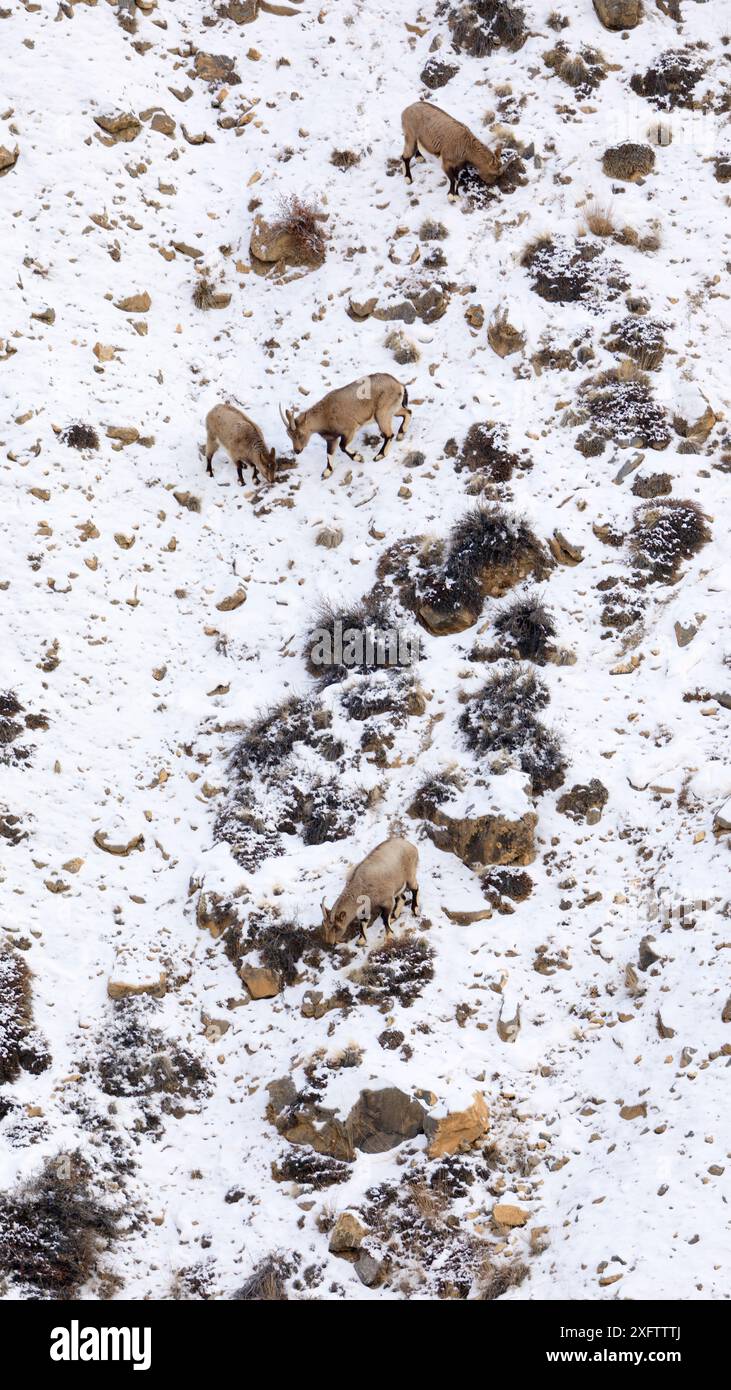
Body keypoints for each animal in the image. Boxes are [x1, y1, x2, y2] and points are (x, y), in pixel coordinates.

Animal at [279, 373, 411, 479]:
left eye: (300, 434)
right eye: (289, 436)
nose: (297, 450)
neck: (324, 415)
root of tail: (399, 384)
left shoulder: (349, 430)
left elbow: (342, 446)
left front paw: (359, 458)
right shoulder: (331, 438)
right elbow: (329, 453)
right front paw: (327, 472)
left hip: (382, 415)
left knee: (389, 434)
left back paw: (379, 455)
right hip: (392, 410)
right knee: (408, 412)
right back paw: (401, 434)